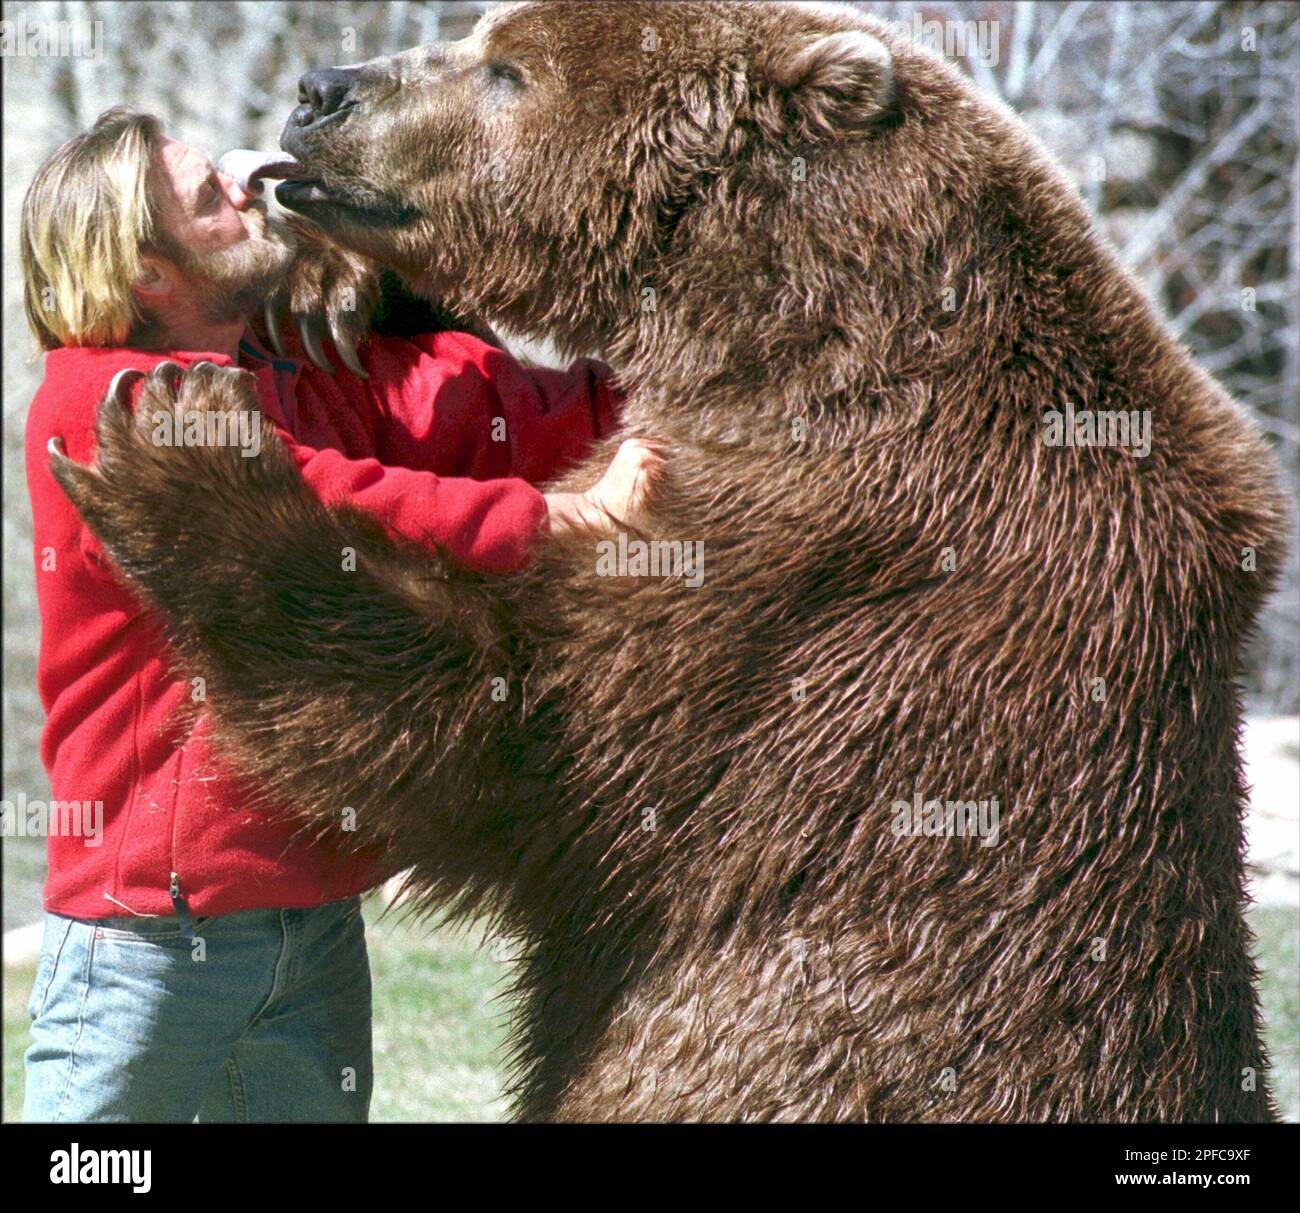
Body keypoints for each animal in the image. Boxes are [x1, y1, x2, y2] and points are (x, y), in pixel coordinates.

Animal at [53, 0, 1286, 1121]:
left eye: (506, 66)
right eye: (481, 33)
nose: (321, 89)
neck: (784, 326)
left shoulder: (820, 581)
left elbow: (515, 727)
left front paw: (179, 446)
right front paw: (330, 290)